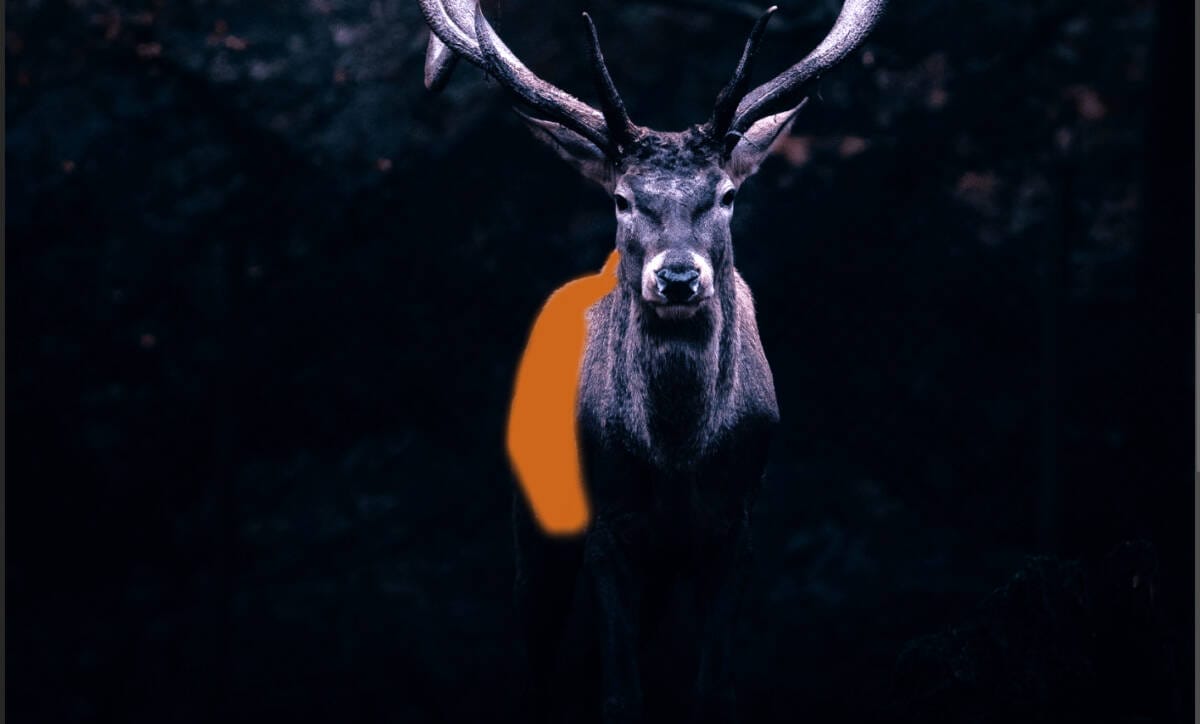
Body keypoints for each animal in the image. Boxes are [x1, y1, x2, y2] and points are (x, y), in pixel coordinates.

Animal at [417, 1, 887, 721]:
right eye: (622, 198)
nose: (677, 277)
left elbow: (713, 689)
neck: (676, 453)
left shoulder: (735, 526)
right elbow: (619, 695)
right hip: (536, 520)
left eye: (725, 194)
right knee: (539, 653)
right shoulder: (608, 527)